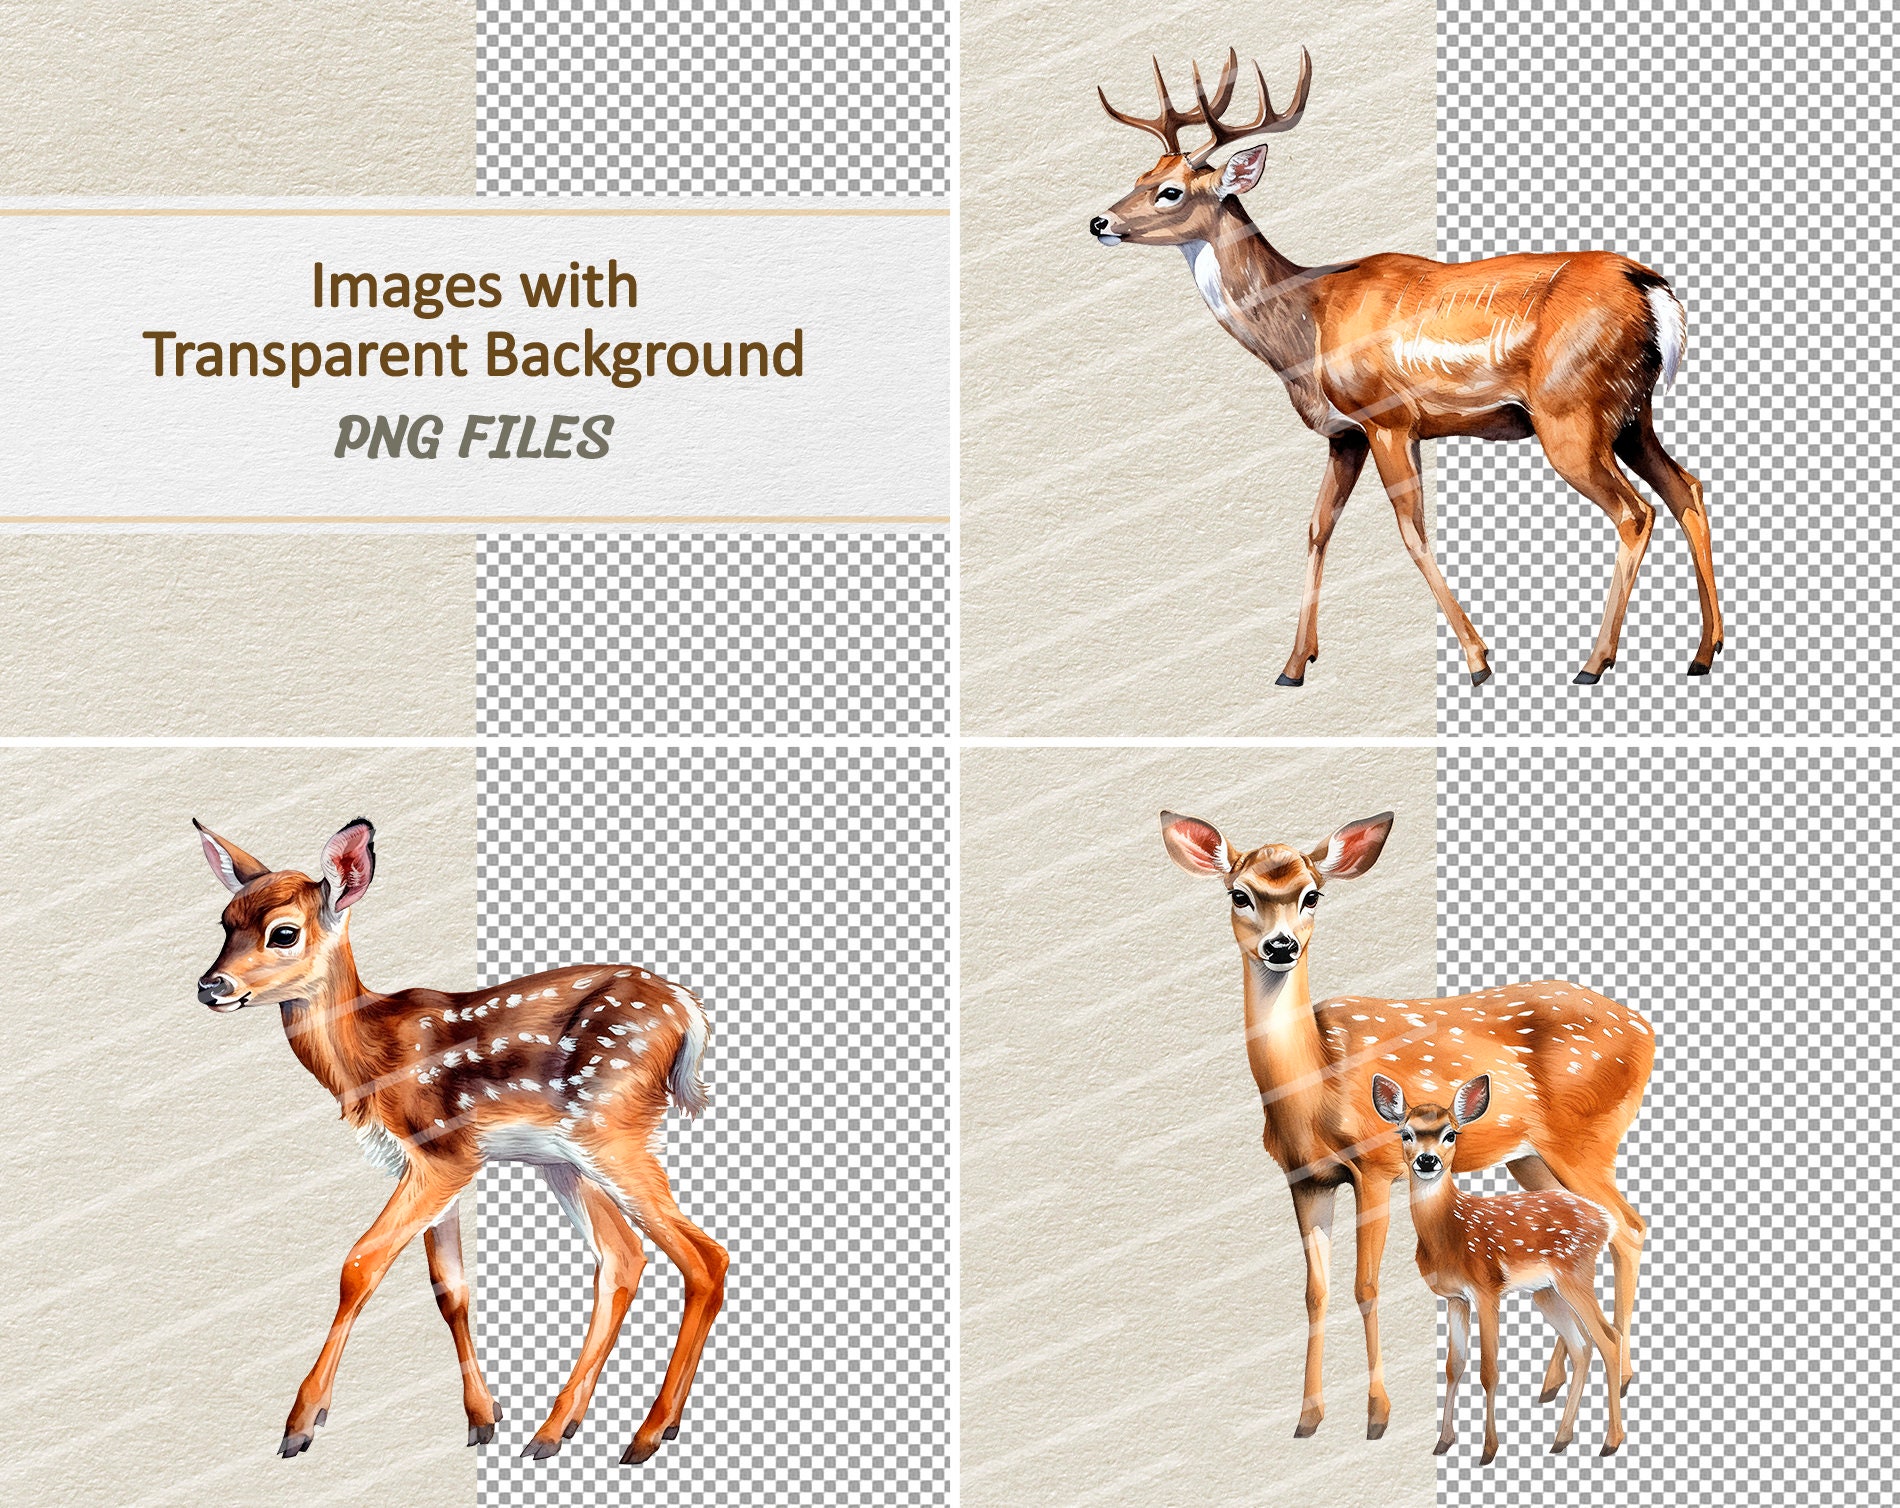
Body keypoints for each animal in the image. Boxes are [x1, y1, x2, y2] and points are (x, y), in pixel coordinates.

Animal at [191, 816, 727, 1467]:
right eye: (225, 922)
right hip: (565, 1160)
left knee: (704, 1257)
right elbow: (450, 1288)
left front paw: (301, 1423)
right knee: (624, 1257)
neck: (370, 1058)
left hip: (613, 1129)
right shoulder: (422, 1166)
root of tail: (690, 1014)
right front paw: (483, 1418)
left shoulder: (444, 1153)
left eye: (284, 933)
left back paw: (647, 1435)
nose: (210, 986)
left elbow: (359, 1265)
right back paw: (554, 1431)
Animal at [1094, 49, 1722, 687]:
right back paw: (1703, 653)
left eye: (1170, 192)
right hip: (1631, 412)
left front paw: (1478, 660)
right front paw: (1294, 665)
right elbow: (1317, 528)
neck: (1305, 328)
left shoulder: (1389, 418)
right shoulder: (1345, 435)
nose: (1100, 222)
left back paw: (1594, 663)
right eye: (1140, 177)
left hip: (1571, 412)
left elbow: (1411, 531)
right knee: (1686, 488)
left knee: (1635, 512)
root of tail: (1651, 288)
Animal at [1372, 1072, 1626, 1461]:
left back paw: (1610, 1442)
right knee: (1581, 1346)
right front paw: (1443, 1441)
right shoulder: (1454, 1297)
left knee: (1608, 1339)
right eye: (1406, 1133)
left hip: (1575, 1273)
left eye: (1451, 1133)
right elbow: (1453, 1367)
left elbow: (1488, 1370)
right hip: (1546, 1293)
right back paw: (1561, 1439)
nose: (1428, 1161)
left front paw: (1489, 1450)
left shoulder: (1487, 1288)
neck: (1450, 1233)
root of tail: (1604, 1221)